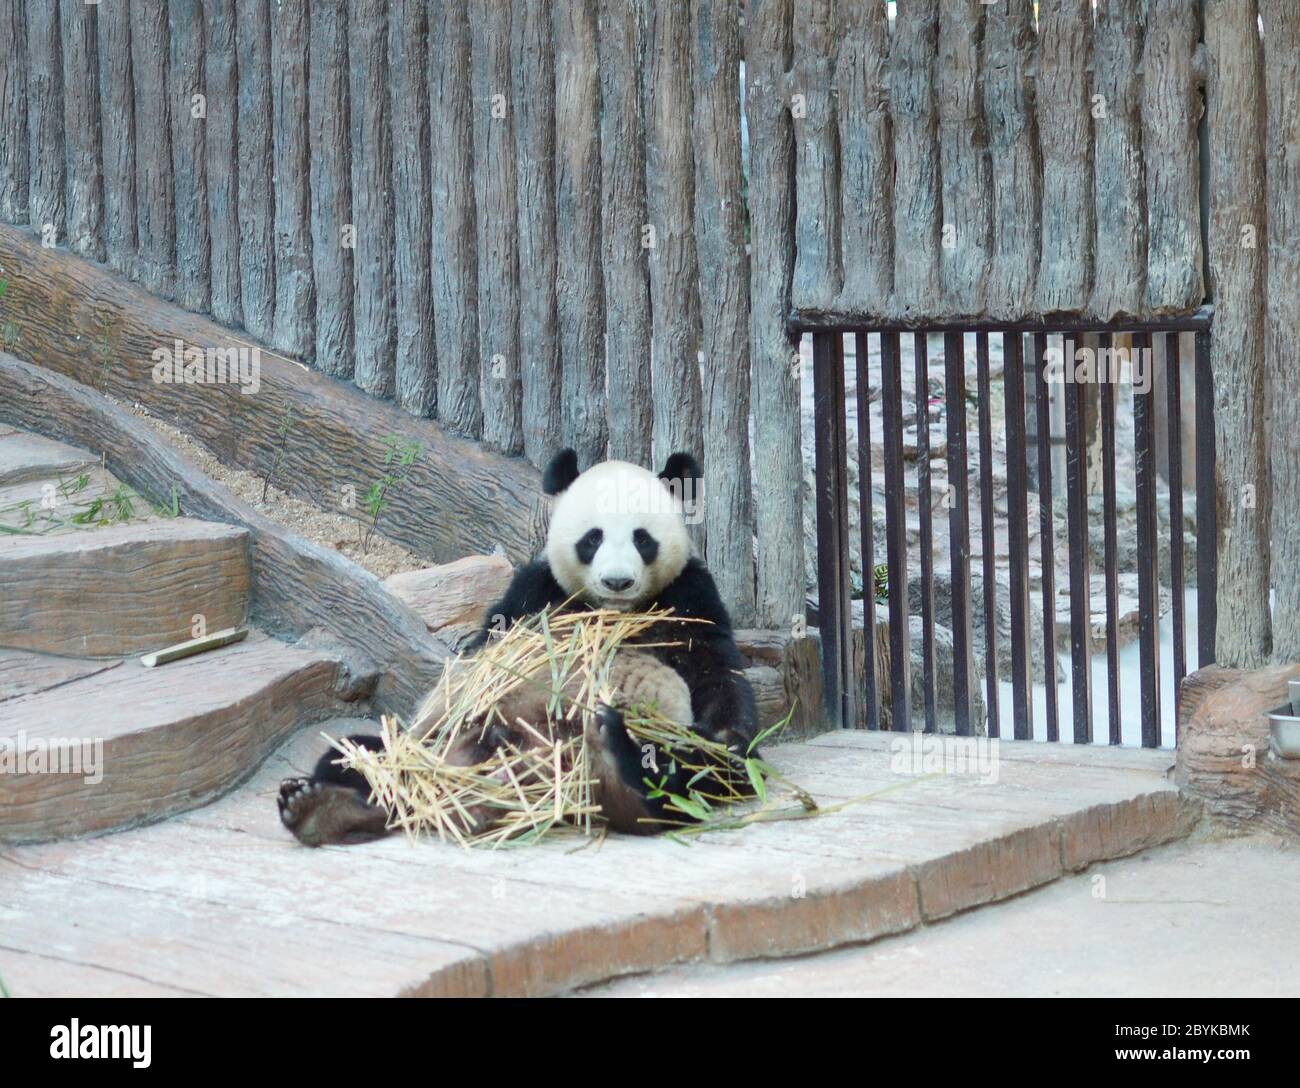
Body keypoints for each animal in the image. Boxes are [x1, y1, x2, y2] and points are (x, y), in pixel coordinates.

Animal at [277, 448, 758, 847]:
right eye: (593, 538)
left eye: (643, 538)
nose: (617, 582)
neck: (613, 613)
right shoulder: (535, 592)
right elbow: (479, 659)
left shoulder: (691, 596)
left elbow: (718, 679)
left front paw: (730, 739)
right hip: (433, 753)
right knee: (364, 754)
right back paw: (323, 809)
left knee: (684, 776)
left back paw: (623, 755)